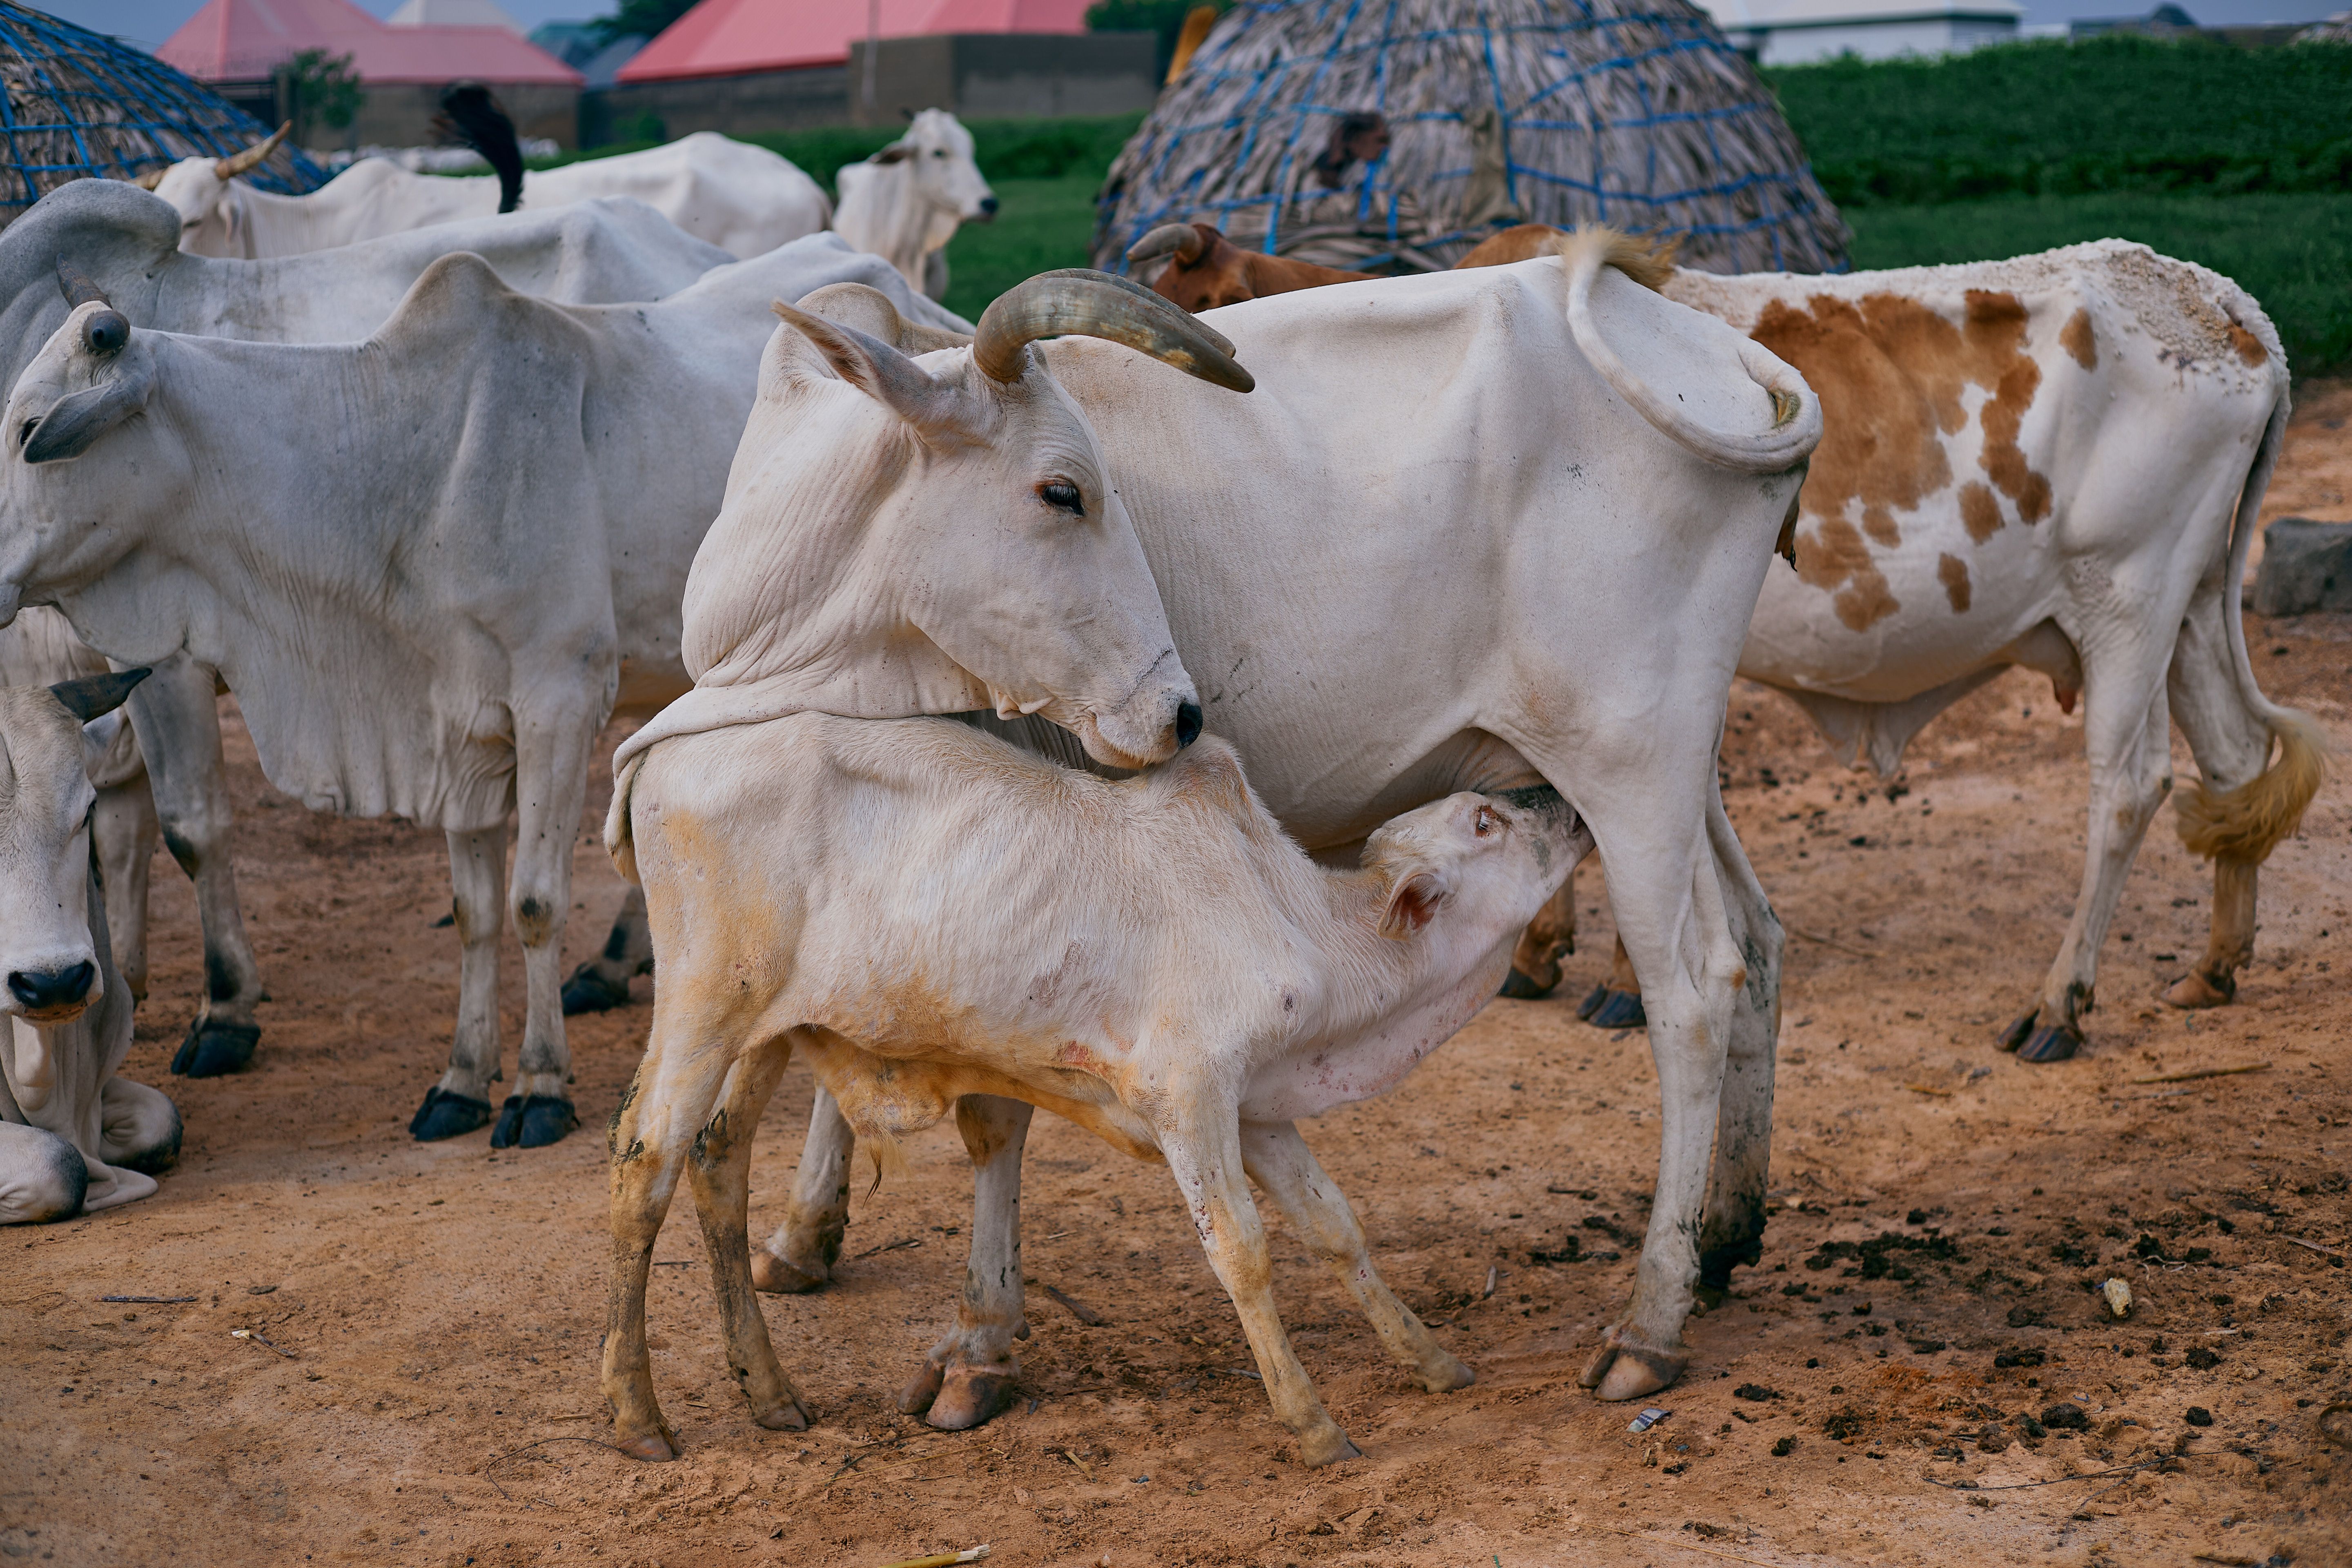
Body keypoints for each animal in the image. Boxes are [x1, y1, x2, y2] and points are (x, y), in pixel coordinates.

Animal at [600, 715, 1592, 1465]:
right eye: (1485, 822)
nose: (1568, 806)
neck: (1297, 924)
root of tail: (664, 749)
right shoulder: (1188, 1094)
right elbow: (1242, 1251)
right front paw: (1313, 1425)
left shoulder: (1254, 1109)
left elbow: (1334, 1226)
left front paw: (1433, 1360)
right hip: (703, 1008)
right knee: (643, 1171)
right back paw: (639, 1417)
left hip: (762, 1030)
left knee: (718, 1165)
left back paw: (769, 1393)